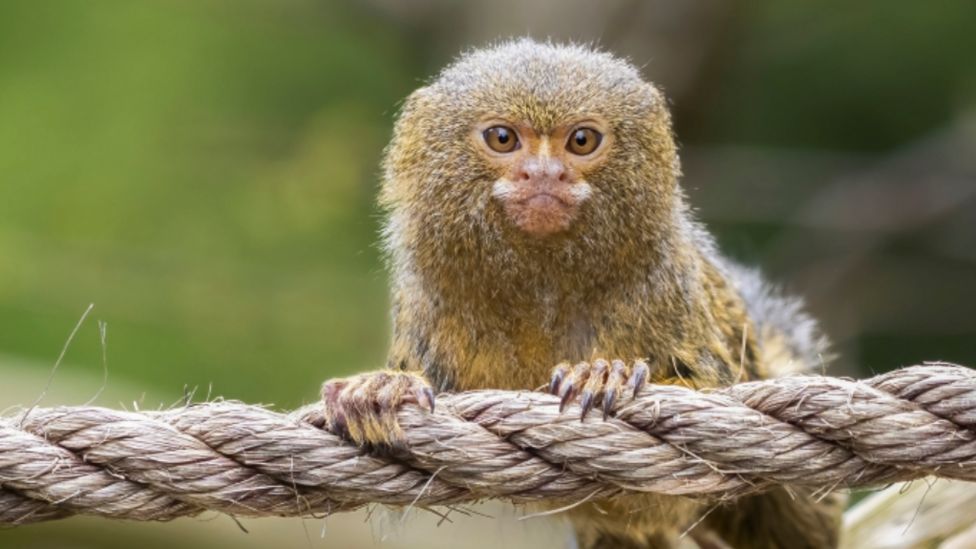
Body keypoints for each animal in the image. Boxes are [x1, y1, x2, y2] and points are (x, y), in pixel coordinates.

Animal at [321, 39, 845, 548]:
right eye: (503, 138)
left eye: (581, 141)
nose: (544, 174)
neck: (542, 283)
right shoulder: (430, 304)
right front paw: (383, 389)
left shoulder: (668, 294)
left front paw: (605, 373)